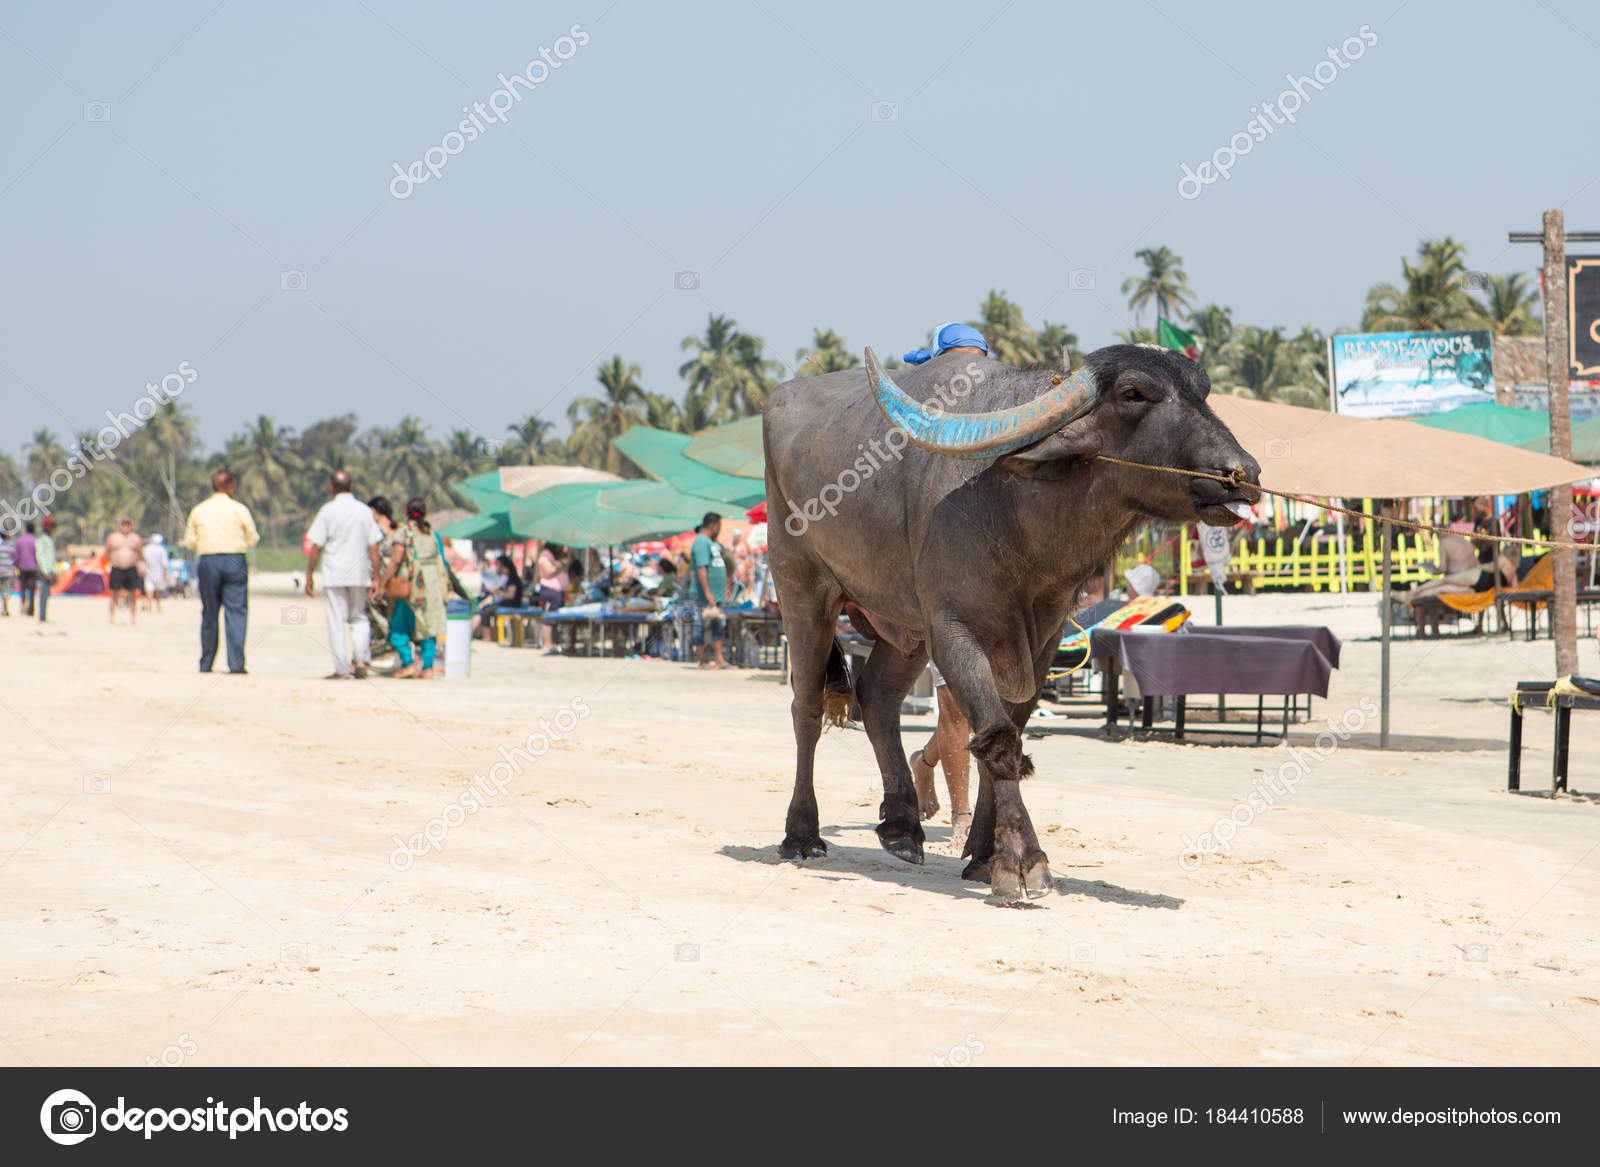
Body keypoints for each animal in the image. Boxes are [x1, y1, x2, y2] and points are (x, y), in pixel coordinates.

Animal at [762, 343, 1261, 903]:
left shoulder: (1041, 641)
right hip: (801, 587)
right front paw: (1022, 862)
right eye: (1134, 393)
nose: (1242, 473)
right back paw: (802, 835)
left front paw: (982, 854)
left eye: (1203, 390)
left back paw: (903, 827)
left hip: (903, 628)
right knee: (807, 707)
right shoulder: (953, 632)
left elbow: (1006, 733)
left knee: (877, 698)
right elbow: (997, 739)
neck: (1015, 514)